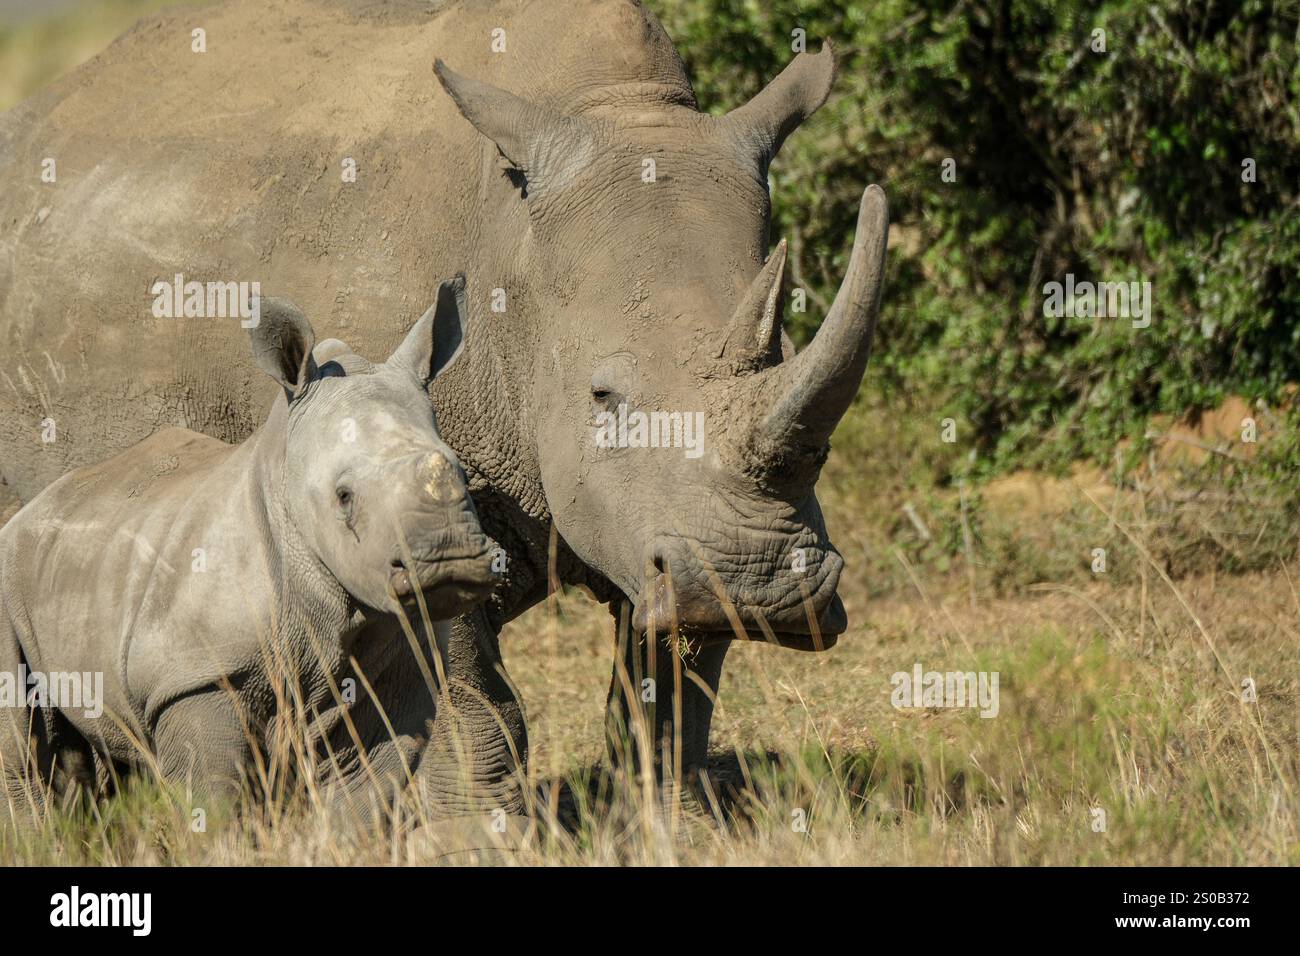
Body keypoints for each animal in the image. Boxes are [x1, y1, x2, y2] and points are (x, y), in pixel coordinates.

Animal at [0, 279, 505, 828]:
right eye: (343, 497)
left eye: (461, 472)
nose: (450, 560)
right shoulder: (194, 677)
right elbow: (213, 799)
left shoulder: (396, 671)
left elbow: (362, 795)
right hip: (11, 567)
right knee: (21, 745)